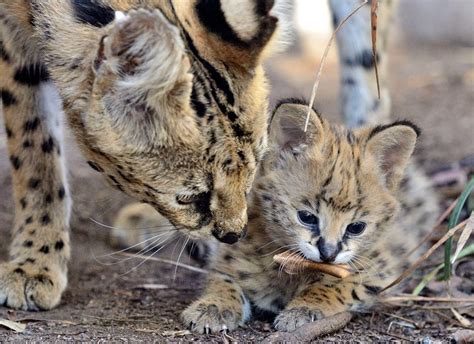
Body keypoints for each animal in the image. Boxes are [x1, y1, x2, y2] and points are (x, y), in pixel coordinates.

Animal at [182, 99, 440, 334]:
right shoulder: (231, 256)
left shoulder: (379, 269)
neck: (292, 265)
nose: (328, 253)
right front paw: (212, 306)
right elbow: (222, 280)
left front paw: (304, 308)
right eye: (306, 217)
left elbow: (337, 284)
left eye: (356, 227)